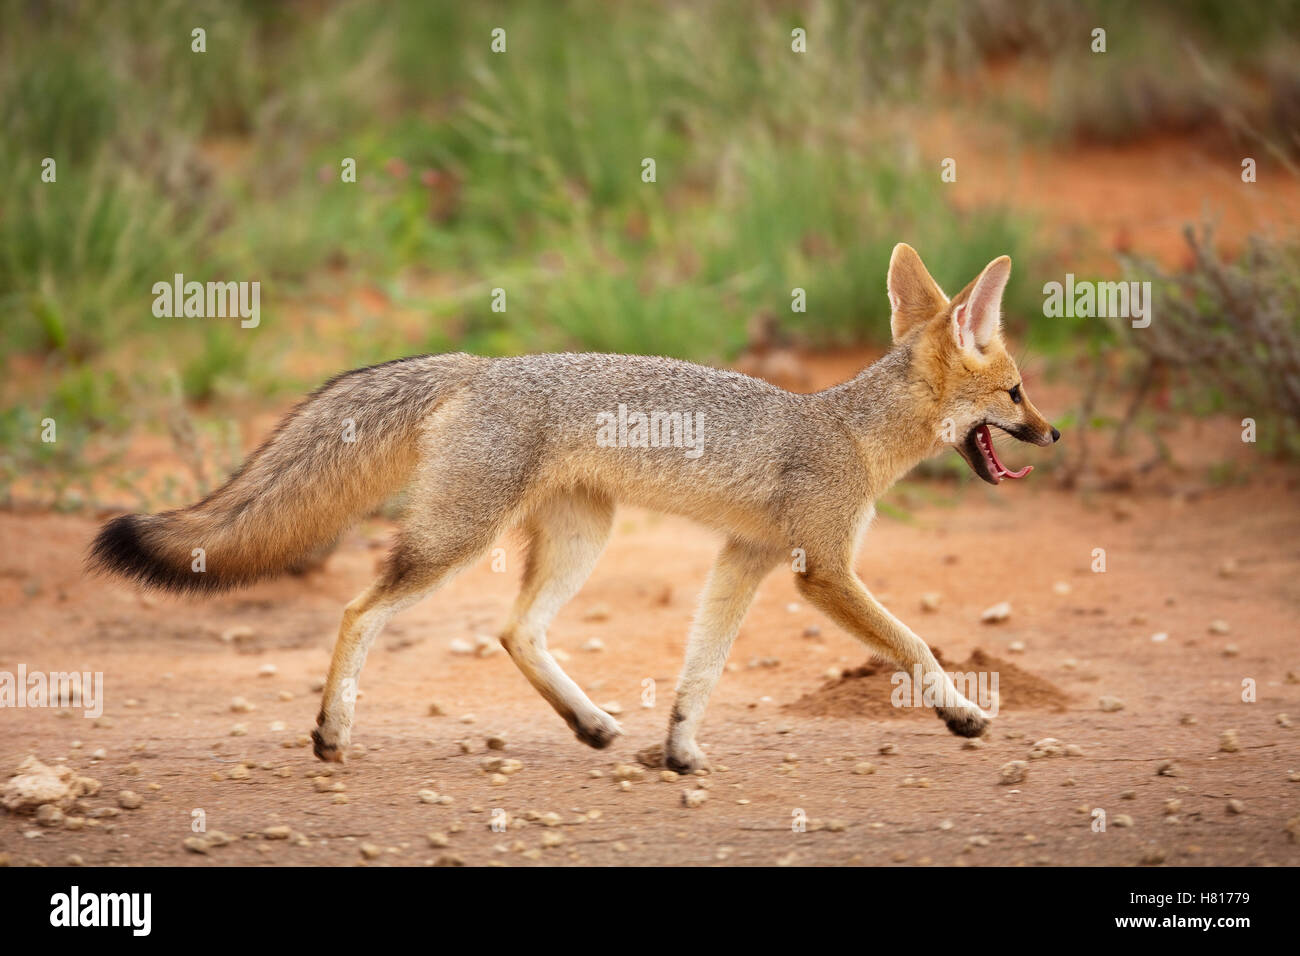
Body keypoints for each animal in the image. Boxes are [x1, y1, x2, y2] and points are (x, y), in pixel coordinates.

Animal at [87, 244, 1058, 772]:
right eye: (1016, 392)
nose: (1054, 433)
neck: (850, 431)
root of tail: (481, 365)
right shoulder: (822, 572)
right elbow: (915, 642)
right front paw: (960, 713)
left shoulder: (743, 560)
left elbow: (699, 671)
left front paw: (681, 751)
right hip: (458, 540)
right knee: (362, 608)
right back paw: (331, 732)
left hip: (581, 539)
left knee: (515, 629)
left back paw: (589, 723)